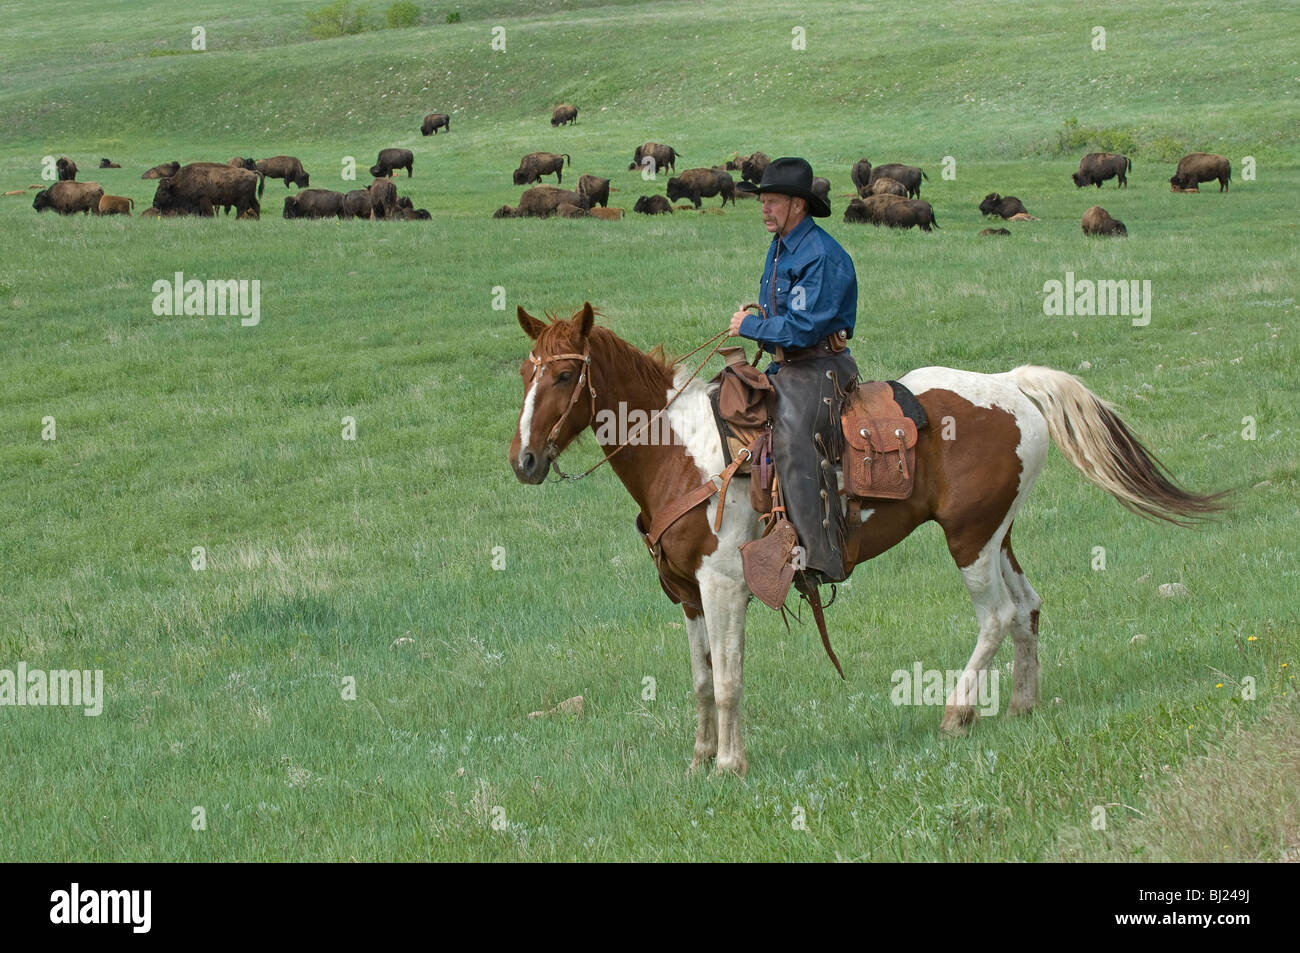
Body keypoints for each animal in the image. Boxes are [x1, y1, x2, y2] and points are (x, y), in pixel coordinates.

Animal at [509, 303, 1226, 776]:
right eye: (525, 372)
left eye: (566, 376)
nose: (524, 461)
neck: (682, 453)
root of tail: (1011, 384)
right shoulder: (687, 595)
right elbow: (700, 679)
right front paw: (699, 761)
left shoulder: (723, 585)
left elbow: (729, 678)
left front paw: (731, 765)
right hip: (999, 534)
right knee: (1027, 607)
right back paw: (1022, 705)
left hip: (969, 540)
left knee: (996, 615)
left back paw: (956, 713)